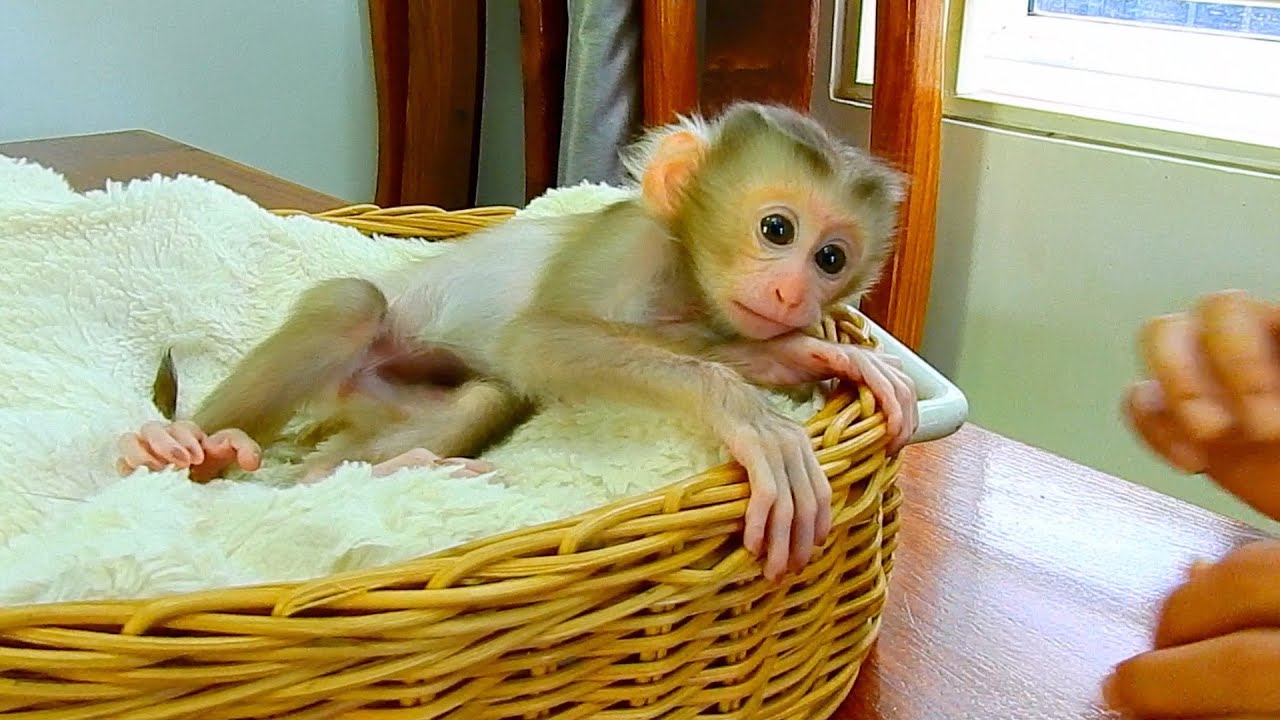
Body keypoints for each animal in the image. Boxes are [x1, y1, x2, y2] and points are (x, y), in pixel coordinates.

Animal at [116, 101, 918, 581]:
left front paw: (807, 354)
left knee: (480, 399)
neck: (682, 281)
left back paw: (368, 473)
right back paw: (182, 447)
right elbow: (539, 342)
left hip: (380, 399)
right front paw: (750, 414)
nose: (792, 294)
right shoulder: (627, 248)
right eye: (776, 228)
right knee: (353, 304)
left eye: (831, 258)